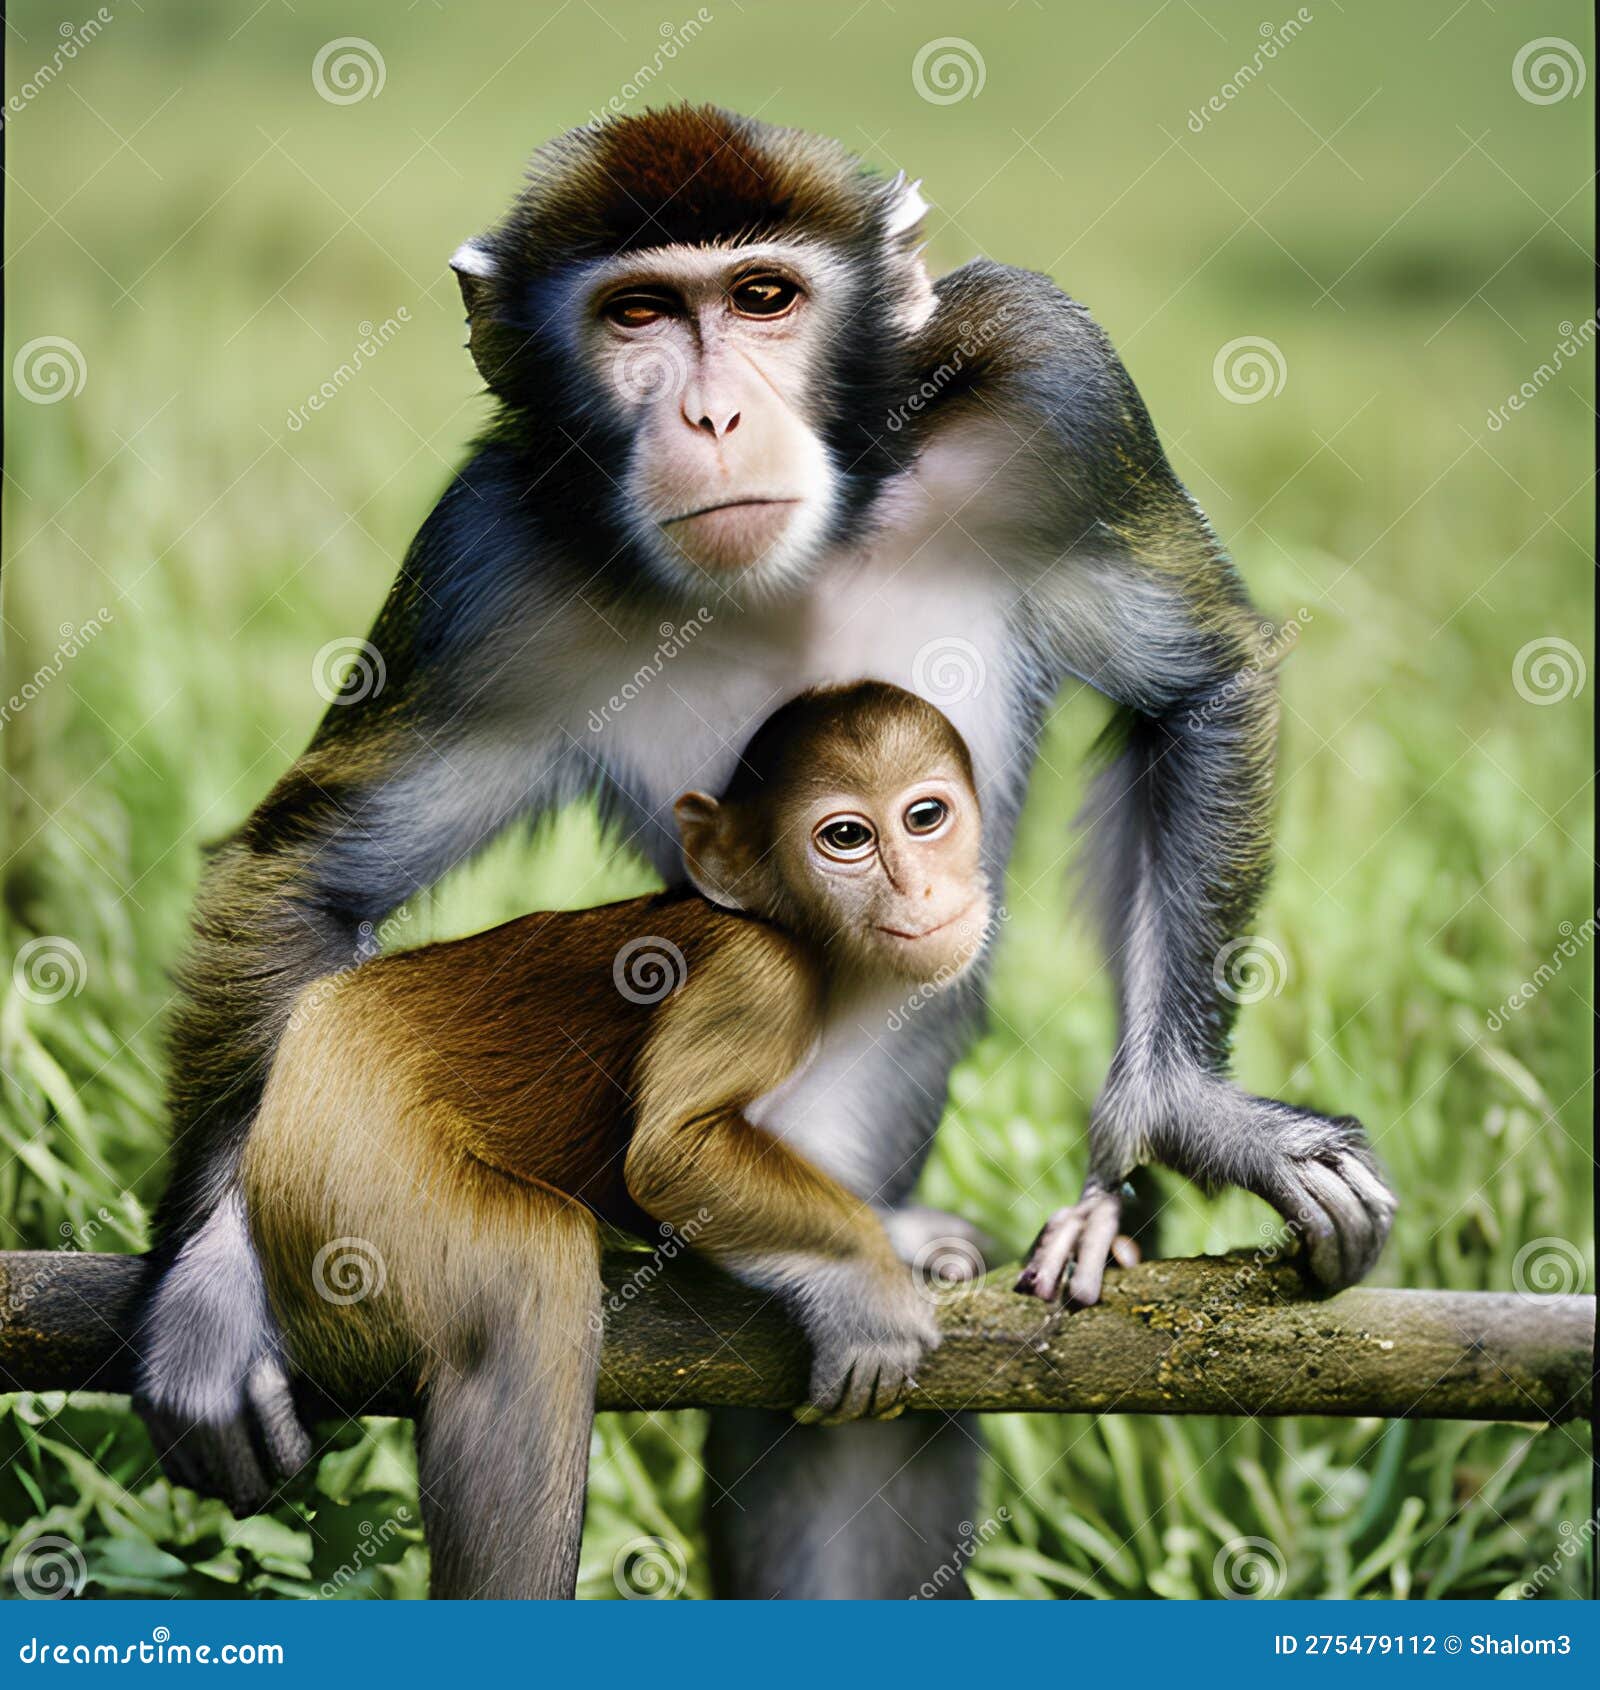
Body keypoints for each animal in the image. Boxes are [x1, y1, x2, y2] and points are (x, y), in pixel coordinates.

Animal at [239, 682, 990, 1599]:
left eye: (926, 816)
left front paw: (912, 1243)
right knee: (525, 1300)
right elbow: (669, 1155)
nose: (919, 887)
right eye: (847, 838)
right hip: (350, 1163)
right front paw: (866, 1282)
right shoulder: (759, 979)